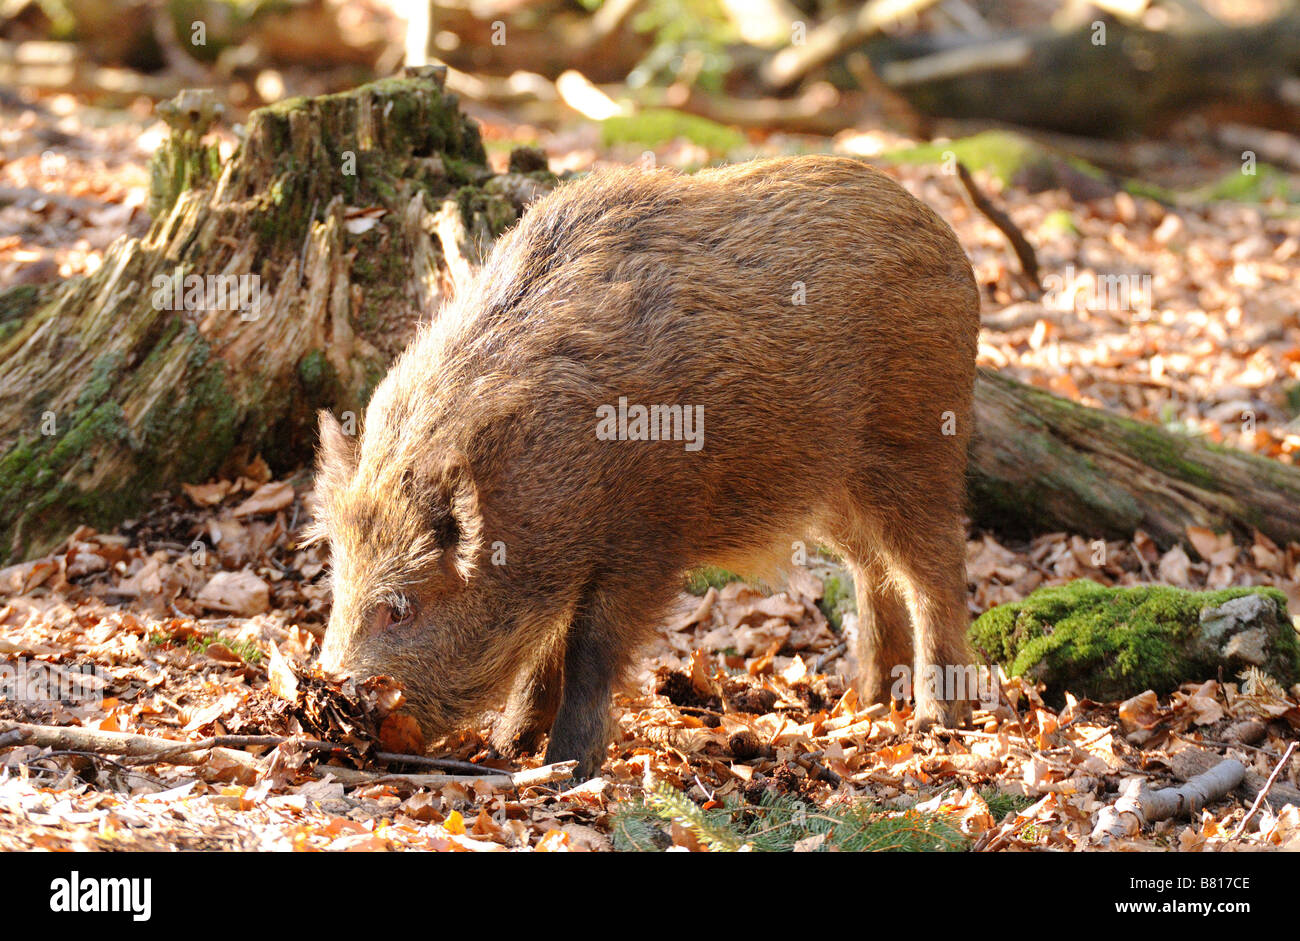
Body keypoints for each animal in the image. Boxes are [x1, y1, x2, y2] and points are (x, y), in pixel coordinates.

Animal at [311, 155, 980, 779]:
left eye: (400, 608)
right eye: (337, 586)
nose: (324, 704)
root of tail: (944, 235)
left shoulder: (648, 540)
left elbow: (589, 651)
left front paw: (565, 768)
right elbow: (545, 647)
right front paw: (510, 747)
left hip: (916, 447)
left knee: (935, 572)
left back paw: (935, 723)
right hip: (834, 489)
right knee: (873, 570)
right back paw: (867, 702)